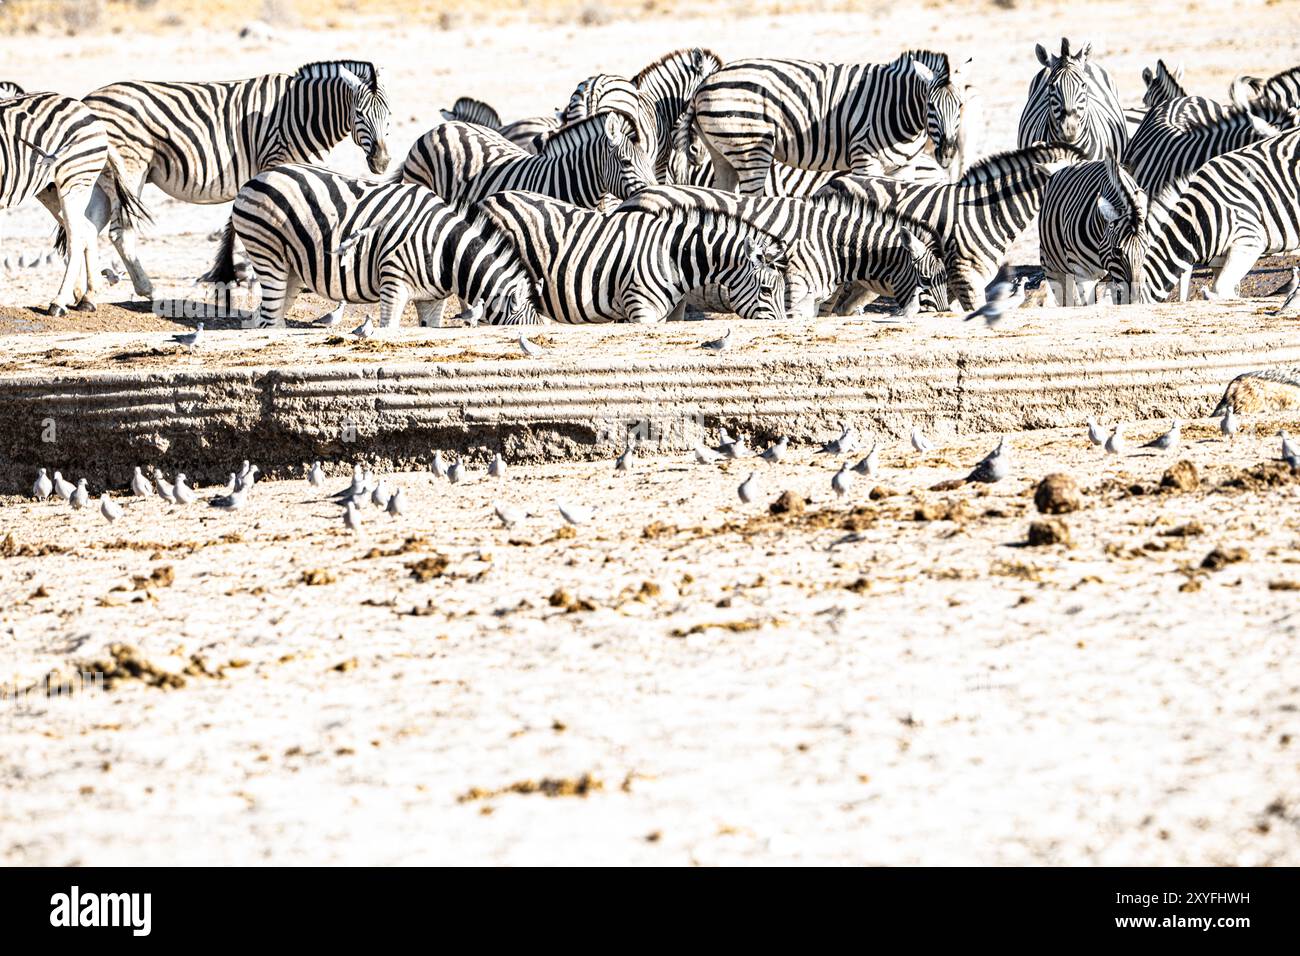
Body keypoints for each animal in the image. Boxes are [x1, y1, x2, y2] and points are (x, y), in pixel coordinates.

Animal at [1, 92, 148, 315]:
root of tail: (85, 108)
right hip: (50, 189)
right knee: (86, 229)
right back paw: (87, 297)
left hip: (74, 181)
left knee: (77, 236)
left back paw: (59, 302)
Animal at [83, 60, 392, 299]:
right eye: (359, 114)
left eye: (389, 116)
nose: (381, 162)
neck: (300, 112)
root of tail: (88, 99)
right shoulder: (274, 160)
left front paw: (226, 271)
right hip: (130, 169)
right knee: (119, 232)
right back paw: (147, 290)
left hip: (100, 177)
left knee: (85, 225)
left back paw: (86, 294)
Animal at [202, 164, 541, 329]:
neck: (446, 250)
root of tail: (253, 180)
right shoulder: (394, 281)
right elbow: (388, 326)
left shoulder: (431, 299)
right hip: (267, 251)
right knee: (268, 318)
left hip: (292, 267)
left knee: (265, 318)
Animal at [615, 185, 948, 319]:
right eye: (926, 281)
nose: (944, 316)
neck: (828, 241)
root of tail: (632, 199)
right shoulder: (794, 292)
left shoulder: (813, 299)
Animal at [690, 51, 966, 194]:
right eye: (931, 106)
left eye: (961, 106)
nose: (947, 153)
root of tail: (706, 82)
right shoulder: (864, 159)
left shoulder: (903, 167)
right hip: (750, 147)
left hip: (722, 152)